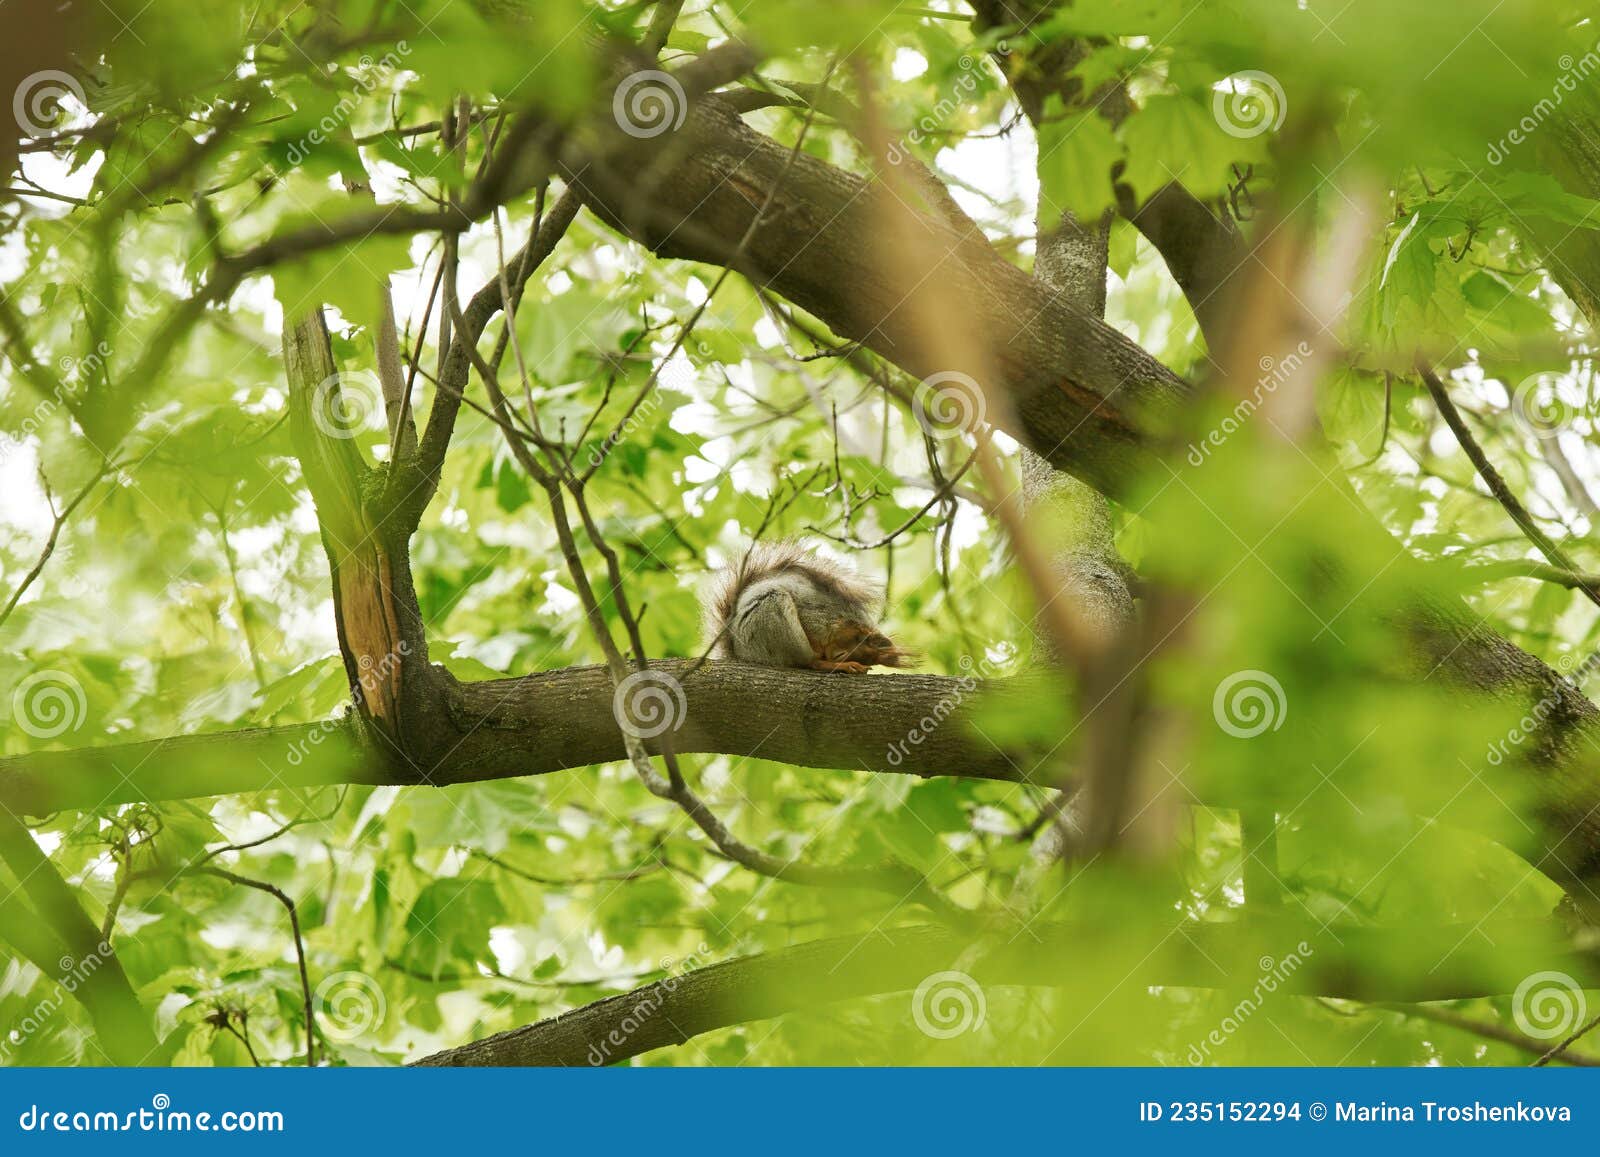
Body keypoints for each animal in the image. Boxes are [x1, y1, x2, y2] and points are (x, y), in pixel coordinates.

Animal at [703, 542, 915, 673]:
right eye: (841, 653)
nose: (836, 657)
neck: (841, 619)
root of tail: (740, 655)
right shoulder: (815, 616)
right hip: (776, 617)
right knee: (808, 662)